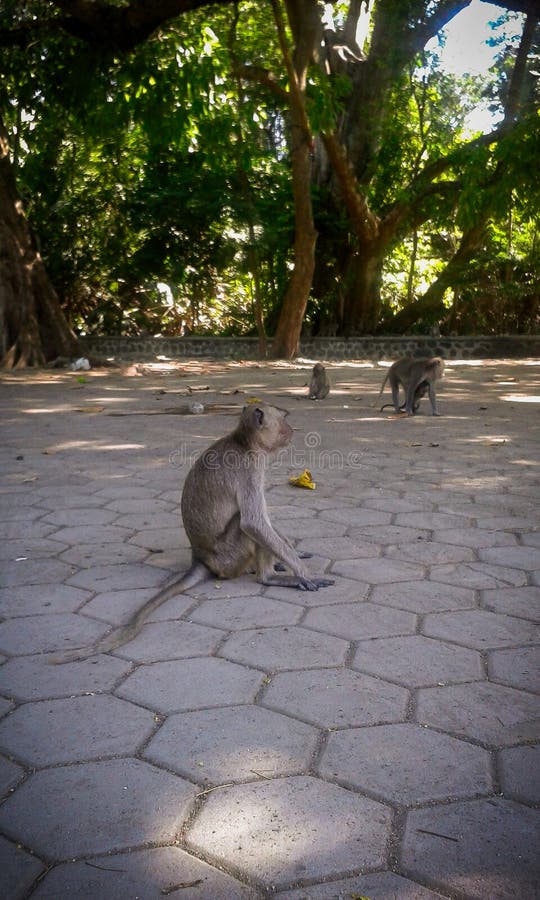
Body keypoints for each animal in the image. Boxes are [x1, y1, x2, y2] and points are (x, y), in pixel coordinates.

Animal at [52, 404, 333, 664]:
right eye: (284, 419)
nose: (292, 430)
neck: (243, 442)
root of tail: (200, 558)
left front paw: (291, 552)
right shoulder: (249, 470)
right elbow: (253, 523)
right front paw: (302, 572)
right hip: (230, 555)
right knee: (243, 524)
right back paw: (269, 576)